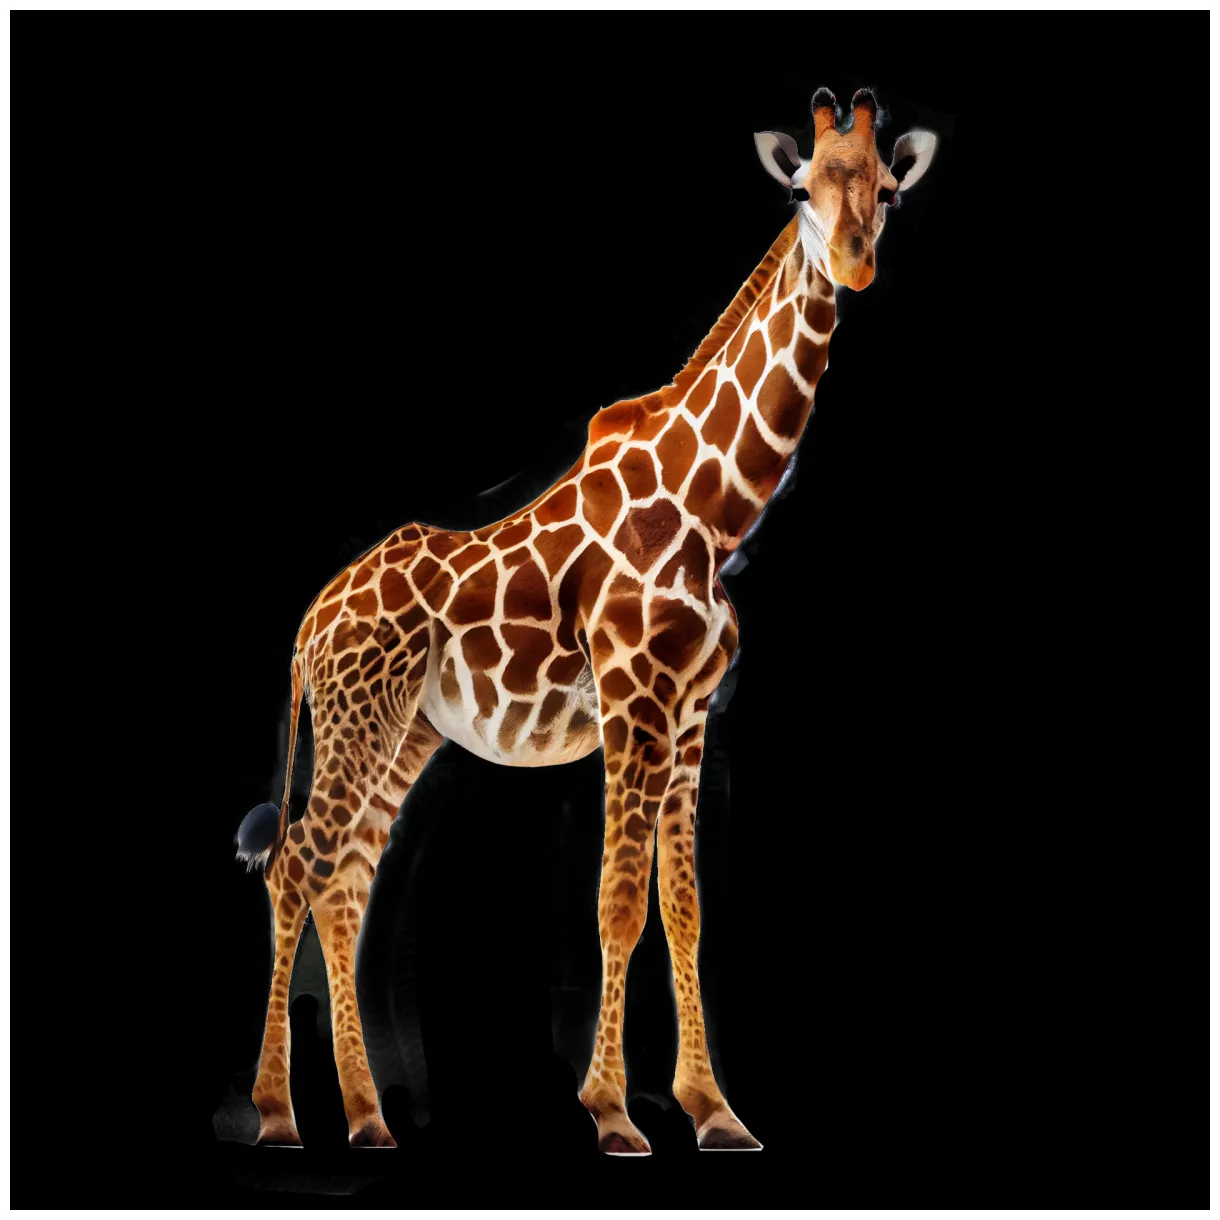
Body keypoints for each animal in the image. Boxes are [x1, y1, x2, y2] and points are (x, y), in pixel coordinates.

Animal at [235, 86, 936, 1153]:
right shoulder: (632, 699)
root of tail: (310, 623)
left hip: (406, 732)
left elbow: (682, 906)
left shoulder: (692, 716)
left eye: (889, 189)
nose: (854, 262)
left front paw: (715, 1112)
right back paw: (278, 1114)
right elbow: (616, 902)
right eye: (800, 189)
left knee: (345, 882)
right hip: (356, 724)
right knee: (294, 867)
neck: (714, 512)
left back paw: (366, 1119)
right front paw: (612, 1112)